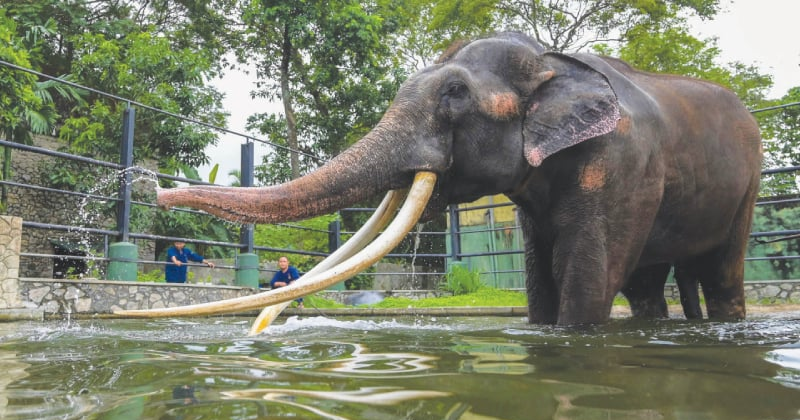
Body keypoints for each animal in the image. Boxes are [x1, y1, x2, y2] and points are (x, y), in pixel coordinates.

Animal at [118, 32, 762, 327]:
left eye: (454, 94)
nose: (150, 185)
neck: (551, 60)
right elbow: (541, 273)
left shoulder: (621, 161)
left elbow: (585, 272)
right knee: (652, 284)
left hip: (746, 187)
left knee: (718, 274)